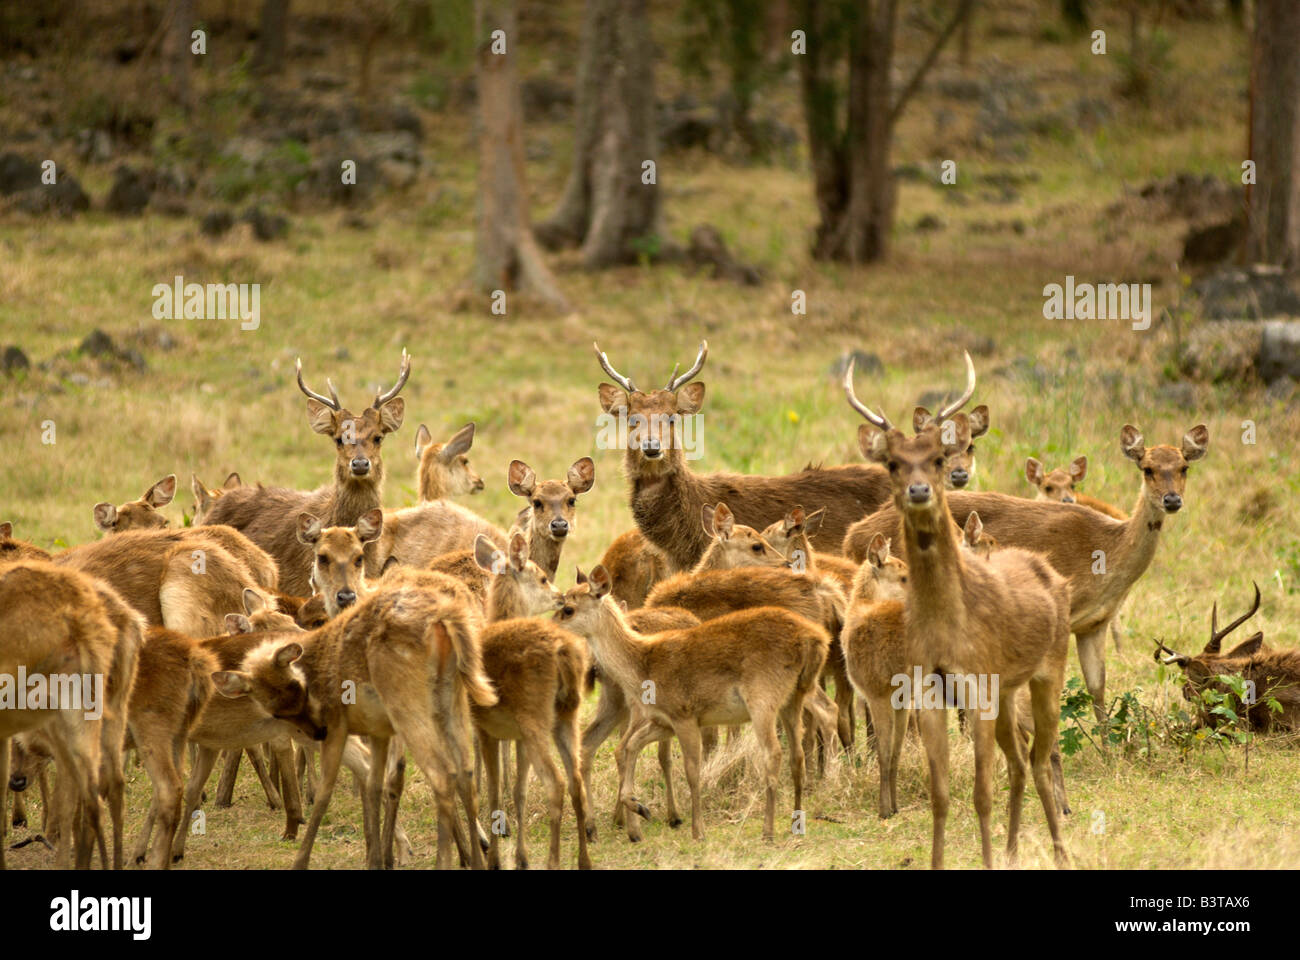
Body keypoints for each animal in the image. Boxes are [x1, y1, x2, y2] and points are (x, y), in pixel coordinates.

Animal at [469, 534, 592, 869]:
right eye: (542, 578)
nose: (561, 597)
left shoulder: (487, 729)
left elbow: (495, 791)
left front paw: (497, 858)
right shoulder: (512, 734)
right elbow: (517, 790)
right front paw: (520, 857)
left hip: (535, 718)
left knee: (556, 783)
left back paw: (553, 861)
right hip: (565, 716)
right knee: (575, 781)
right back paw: (583, 860)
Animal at [556, 564, 829, 843]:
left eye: (568, 609)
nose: (551, 629)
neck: (643, 665)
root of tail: (815, 639)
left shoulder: (684, 714)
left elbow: (692, 770)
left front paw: (697, 830)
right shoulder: (663, 722)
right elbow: (630, 747)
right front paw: (640, 807)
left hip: (763, 697)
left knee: (773, 753)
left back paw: (768, 830)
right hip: (793, 698)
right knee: (797, 755)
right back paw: (796, 822)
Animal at [843, 358, 1071, 869]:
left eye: (939, 457)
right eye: (892, 462)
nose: (919, 489)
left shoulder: (976, 685)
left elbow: (981, 793)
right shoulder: (929, 690)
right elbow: (940, 795)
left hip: (1049, 673)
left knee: (1040, 758)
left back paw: (1060, 848)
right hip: (1008, 691)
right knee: (1021, 762)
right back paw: (1012, 850)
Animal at [845, 419, 1210, 724]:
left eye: (1184, 467)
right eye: (1147, 468)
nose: (1172, 500)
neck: (1107, 554)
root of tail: (854, 535)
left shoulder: (1095, 623)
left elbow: (1097, 689)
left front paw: (1109, 751)